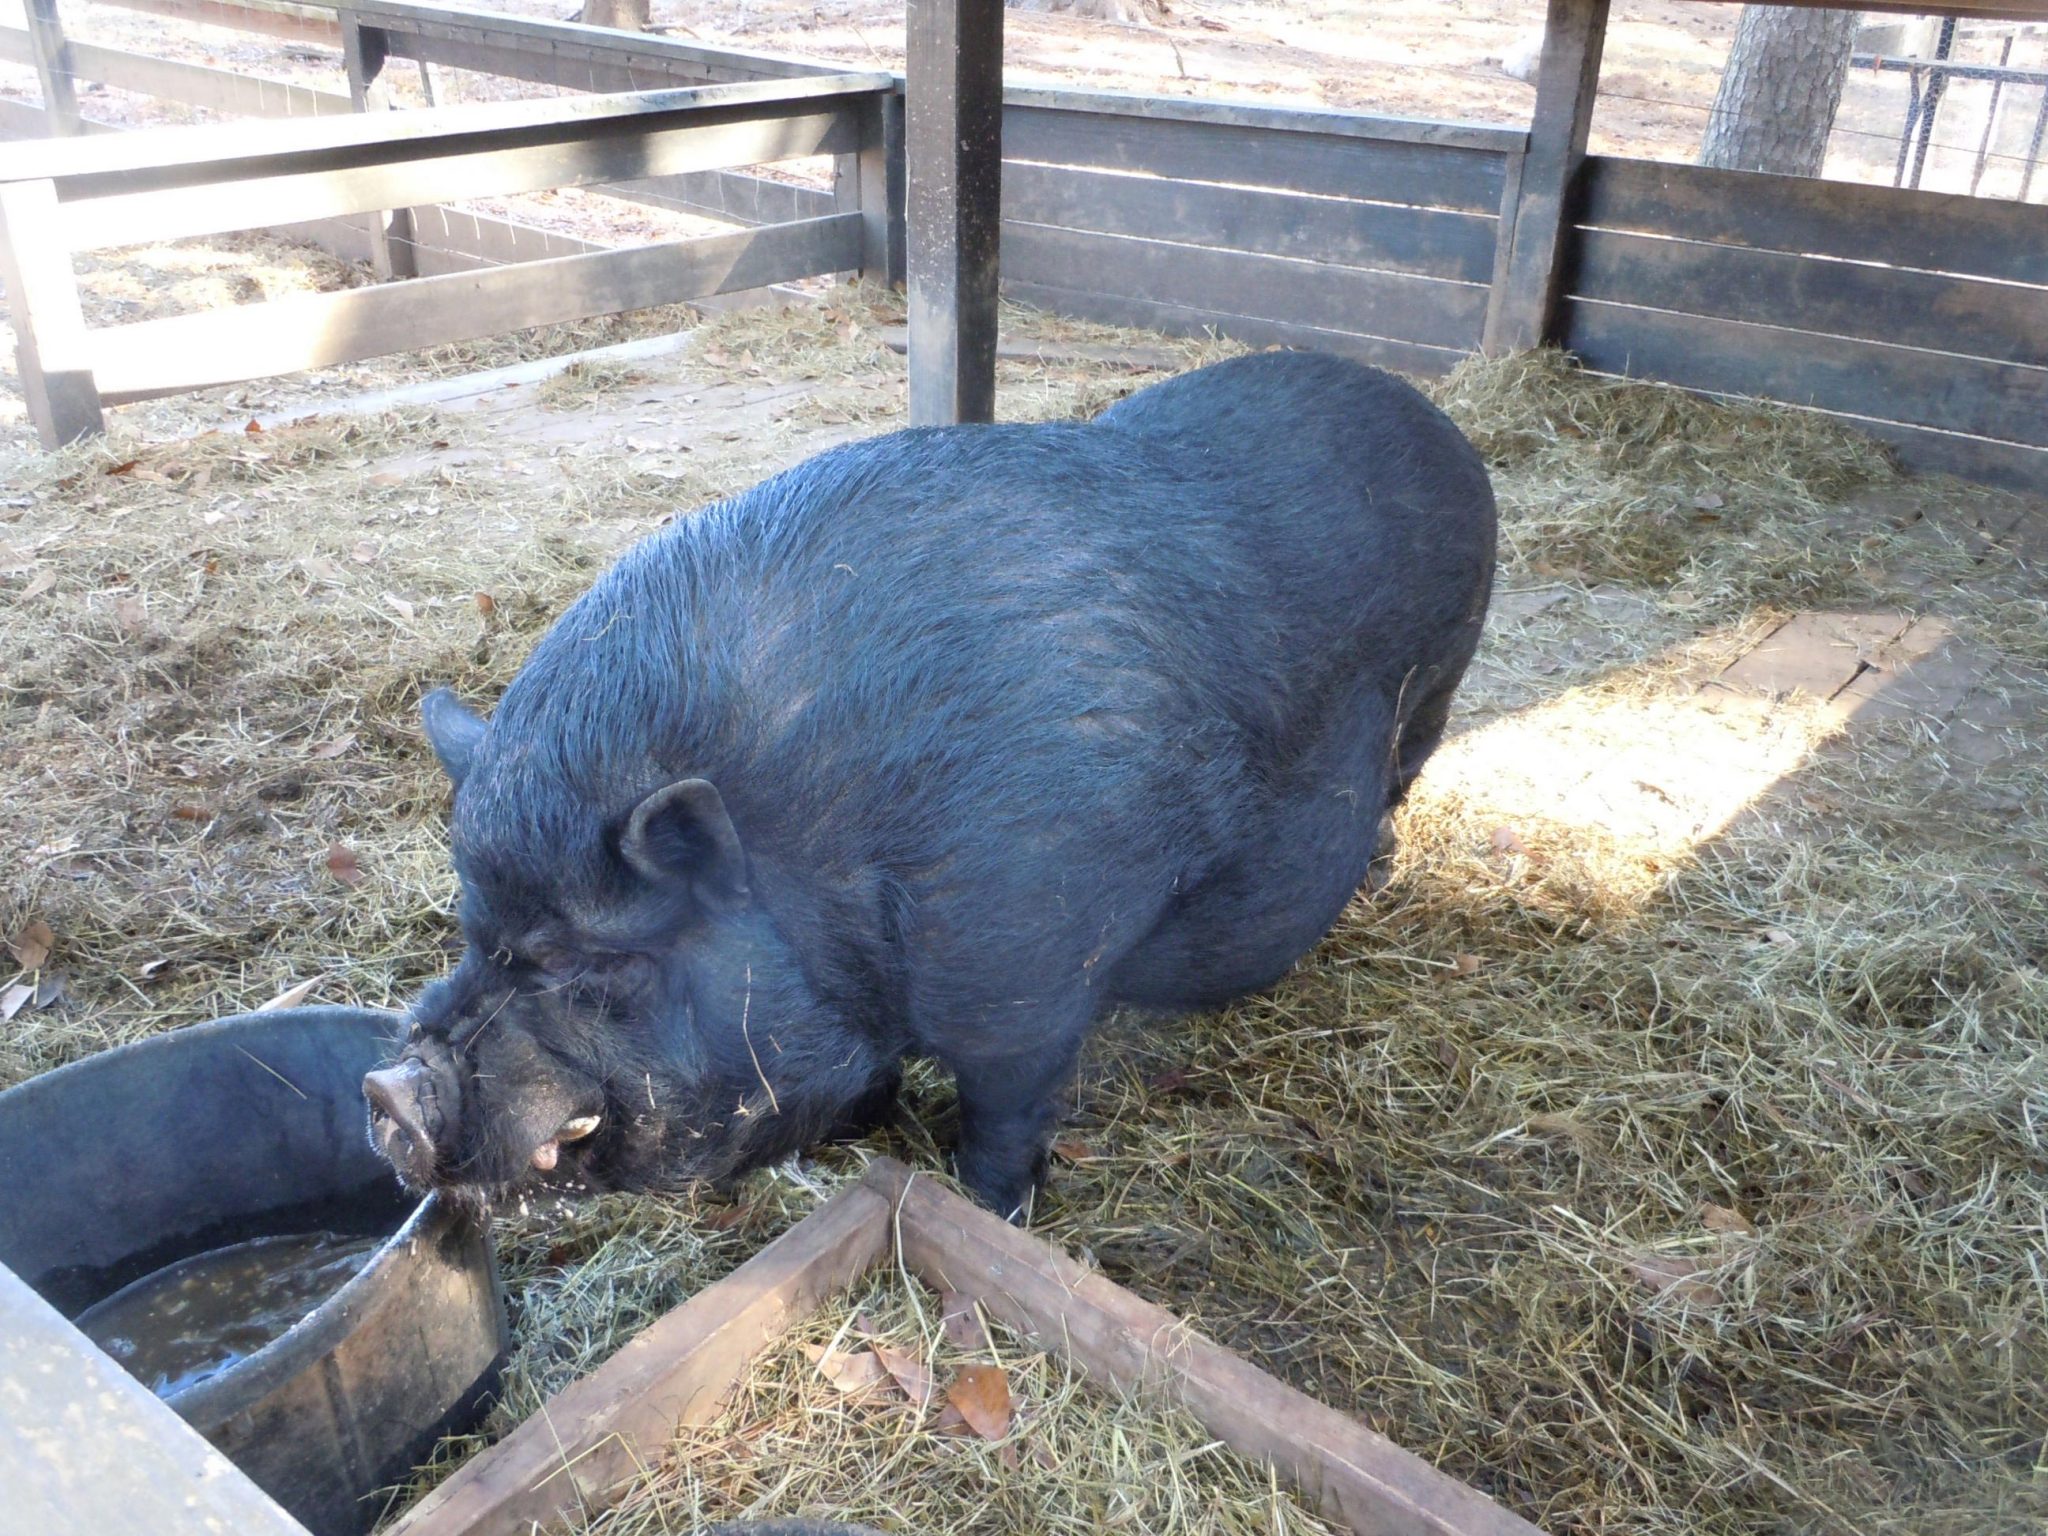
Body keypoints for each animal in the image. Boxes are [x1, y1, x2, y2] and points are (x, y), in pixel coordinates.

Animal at [363, 349, 1496, 1221]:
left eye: (587, 966)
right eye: (474, 936)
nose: (386, 1090)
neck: (818, 850)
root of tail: (1439, 424)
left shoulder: (1030, 968)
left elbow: (1006, 1106)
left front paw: (992, 1204)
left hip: (1442, 676)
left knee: (1406, 770)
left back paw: (1381, 869)